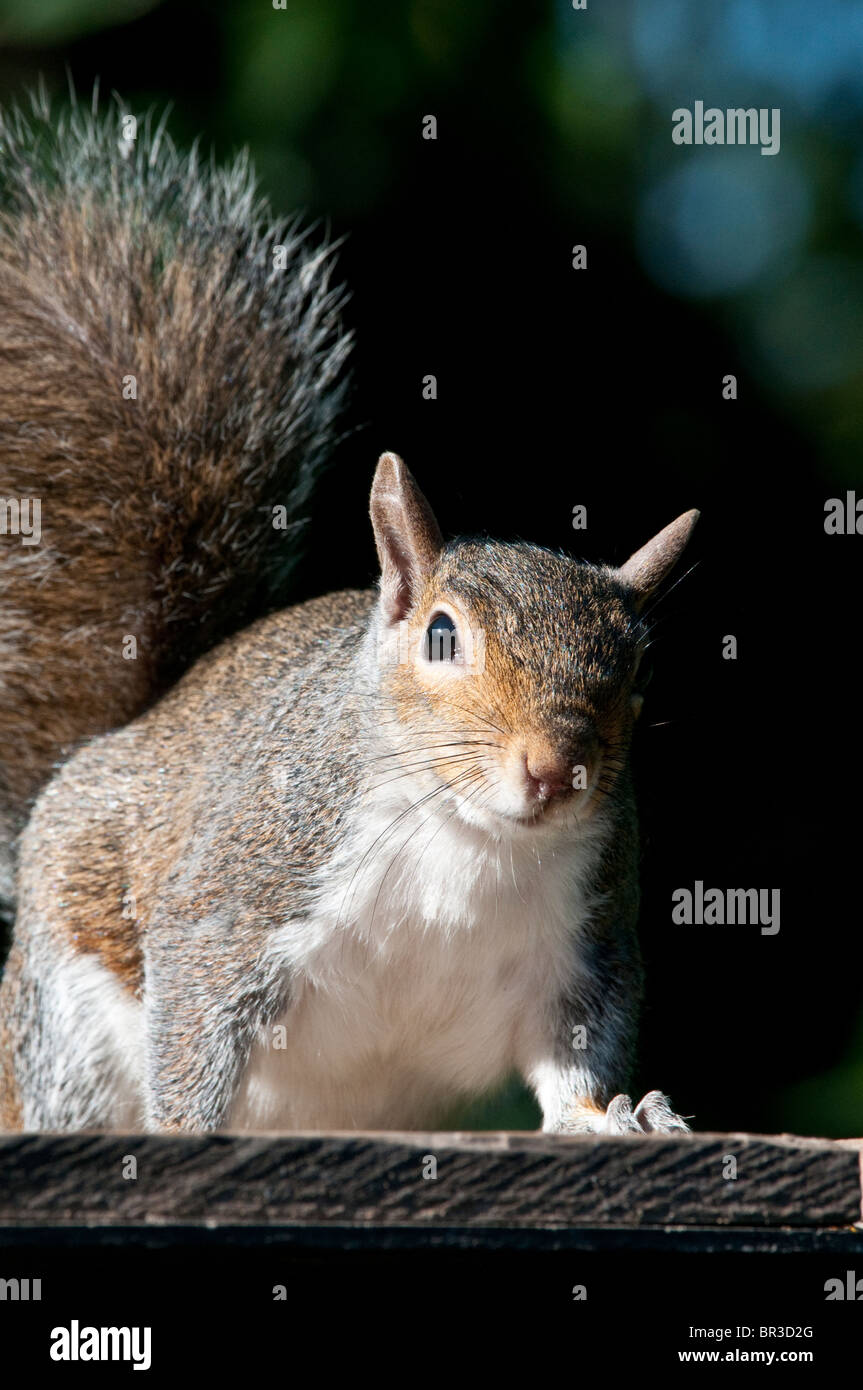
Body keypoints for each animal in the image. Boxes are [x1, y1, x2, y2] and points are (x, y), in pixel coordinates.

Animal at [0, 92, 698, 1136]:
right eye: (441, 634)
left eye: (642, 668)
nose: (553, 771)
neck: (467, 835)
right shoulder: (237, 897)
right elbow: (194, 1017)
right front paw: (183, 1134)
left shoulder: (586, 946)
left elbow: (574, 1057)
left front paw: (609, 1117)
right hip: (65, 1016)